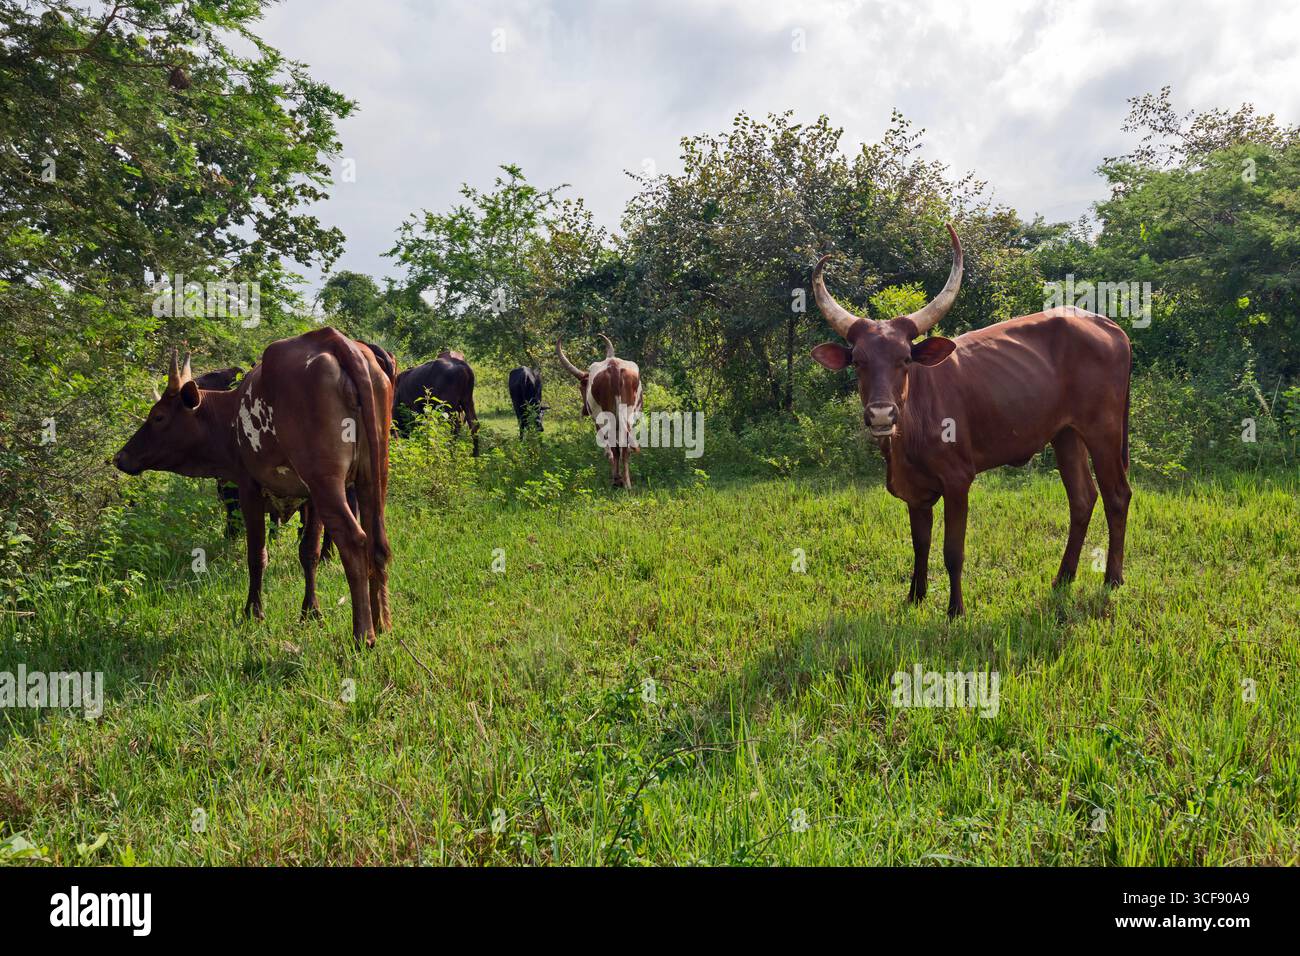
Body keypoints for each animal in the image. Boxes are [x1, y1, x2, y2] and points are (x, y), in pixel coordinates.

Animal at [114, 328, 394, 646]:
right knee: (377, 543)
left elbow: (257, 554)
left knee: (355, 541)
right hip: (373, 476)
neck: (228, 415)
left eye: (158, 416)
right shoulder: (309, 498)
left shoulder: (249, 488)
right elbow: (308, 552)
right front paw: (310, 612)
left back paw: (363, 635)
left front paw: (253, 612)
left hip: (327, 483)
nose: (121, 457)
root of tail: (338, 342)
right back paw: (381, 622)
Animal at [556, 334, 643, 489]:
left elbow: (609, 451)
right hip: (627, 416)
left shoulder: (598, 423)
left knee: (615, 448)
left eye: (582, 387)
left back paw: (617, 480)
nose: (584, 410)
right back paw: (627, 483)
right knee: (624, 448)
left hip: (607, 418)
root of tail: (614, 367)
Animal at [808, 224, 1131, 617]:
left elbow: (952, 551)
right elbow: (920, 546)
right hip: (1066, 434)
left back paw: (1112, 579)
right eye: (857, 361)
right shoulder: (914, 491)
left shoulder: (957, 480)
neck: (906, 439)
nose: (881, 413)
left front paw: (955, 610)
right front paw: (915, 598)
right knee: (1083, 499)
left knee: (1117, 495)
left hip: (1104, 430)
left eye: (905, 359)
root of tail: (1108, 324)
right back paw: (1063, 578)